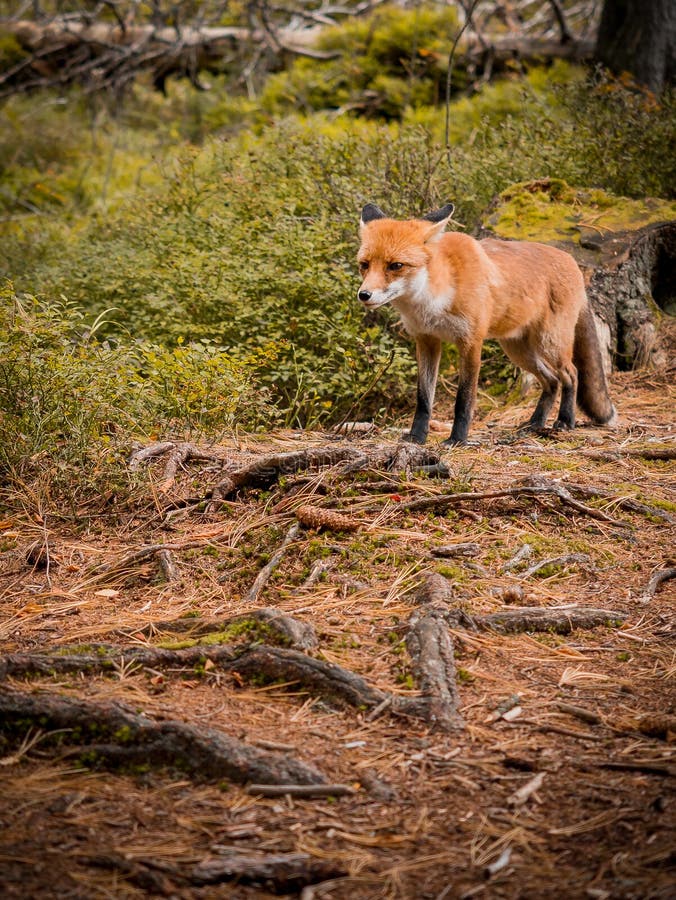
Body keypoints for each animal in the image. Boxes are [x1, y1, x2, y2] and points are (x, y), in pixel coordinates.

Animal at [357, 202, 616, 446]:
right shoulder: (426, 340)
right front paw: (417, 437)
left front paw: (457, 440)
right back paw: (535, 423)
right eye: (365, 264)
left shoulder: (471, 341)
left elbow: (464, 399)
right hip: (518, 351)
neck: (434, 299)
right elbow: (423, 399)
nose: (364, 295)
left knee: (571, 374)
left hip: (550, 343)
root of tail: (572, 261)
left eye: (396, 265)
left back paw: (565, 420)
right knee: (552, 381)